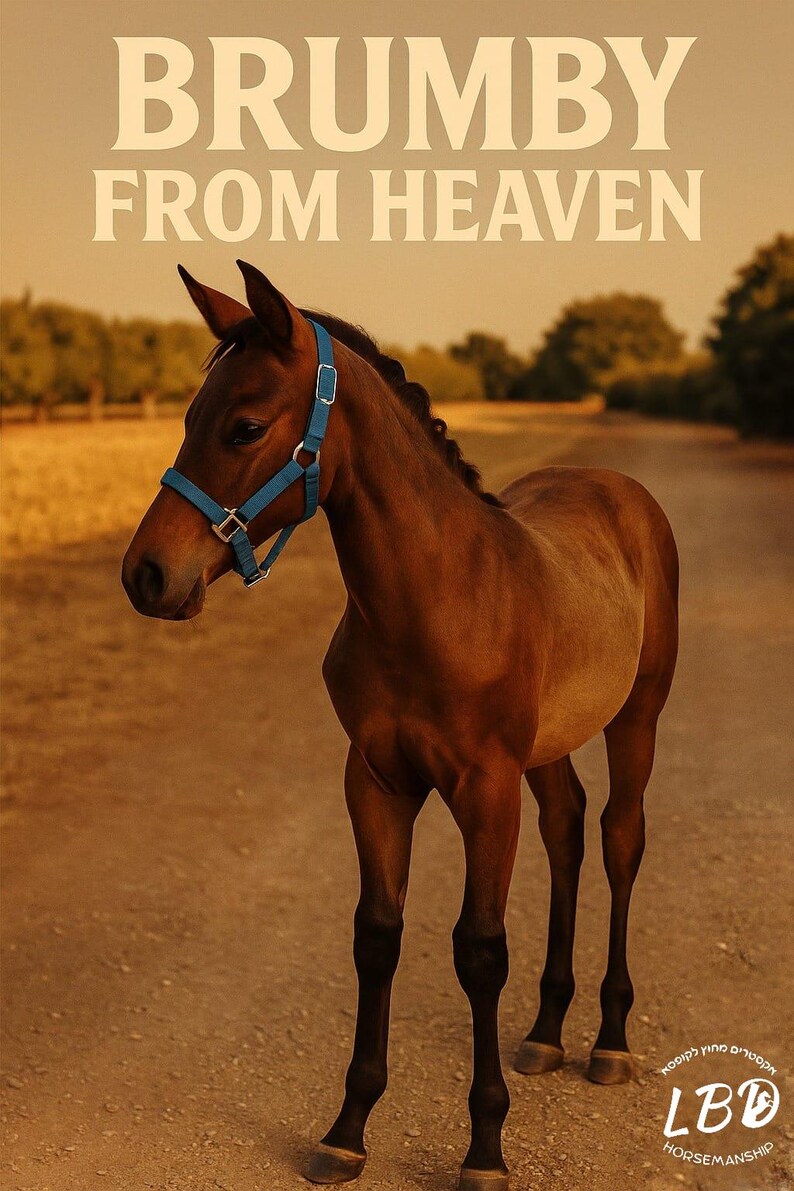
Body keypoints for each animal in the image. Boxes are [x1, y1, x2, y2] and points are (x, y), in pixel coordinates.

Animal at [122, 261, 679, 1191]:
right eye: (190, 418)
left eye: (245, 426)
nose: (147, 574)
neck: (437, 595)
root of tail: (619, 488)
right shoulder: (376, 779)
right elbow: (377, 933)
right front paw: (347, 1128)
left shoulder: (483, 787)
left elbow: (479, 949)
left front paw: (484, 1147)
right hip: (547, 747)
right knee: (566, 829)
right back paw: (546, 1032)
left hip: (637, 715)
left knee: (618, 839)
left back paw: (607, 1039)